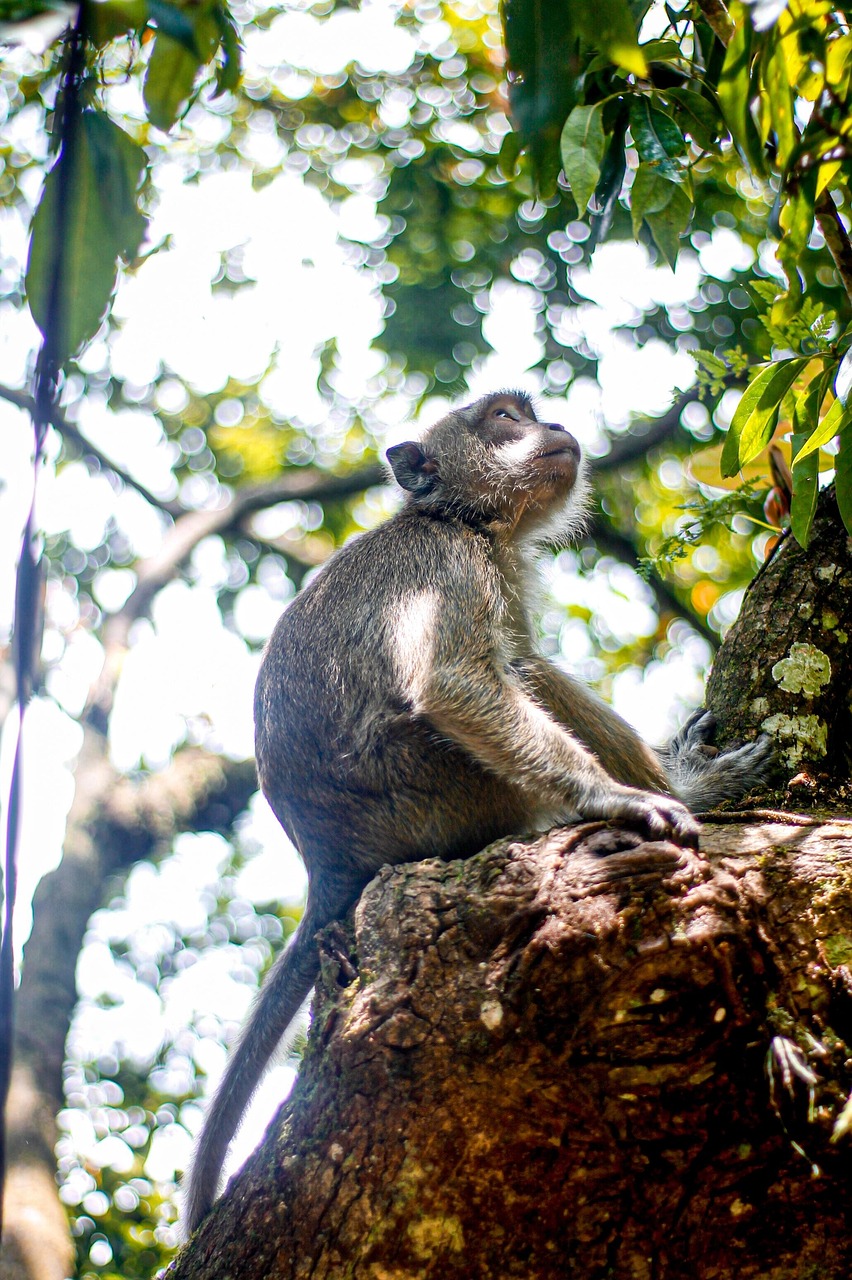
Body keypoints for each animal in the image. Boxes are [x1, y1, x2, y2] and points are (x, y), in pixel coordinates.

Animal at [184, 390, 772, 1233]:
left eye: (528, 411)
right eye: (503, 418)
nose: (553, 427)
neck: (461, 519)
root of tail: (325, 861)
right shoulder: (452, 569)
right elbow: (455, 682)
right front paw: (618, 797)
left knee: (526, 667)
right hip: (431, 789)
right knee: (517, 677)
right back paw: (675, 794)